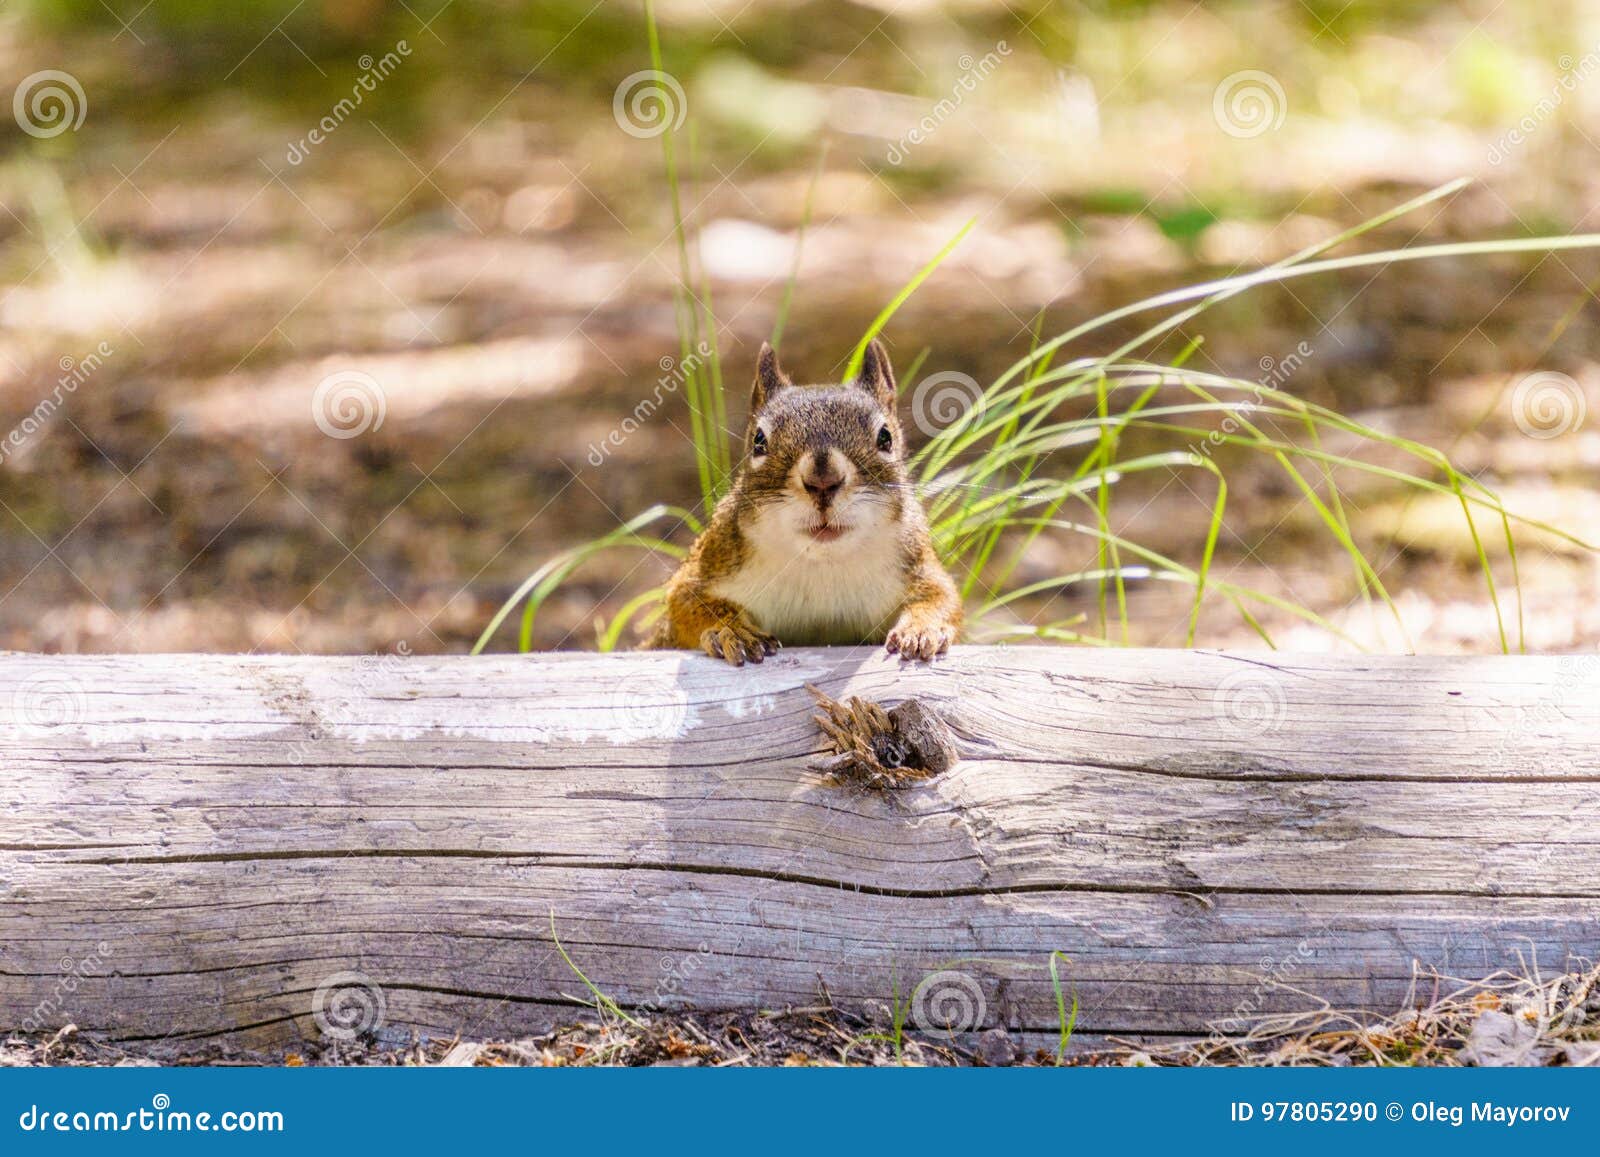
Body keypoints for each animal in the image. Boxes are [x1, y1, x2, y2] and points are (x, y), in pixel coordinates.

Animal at [647, 339, 963, 666]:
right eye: (758, 441)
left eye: (885, 437)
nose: (823, 481)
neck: (821, 563)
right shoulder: (709, 565)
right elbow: (686, 604)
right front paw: (732, 630)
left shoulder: (917, 564)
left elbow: (942, 596)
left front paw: (922, 629)